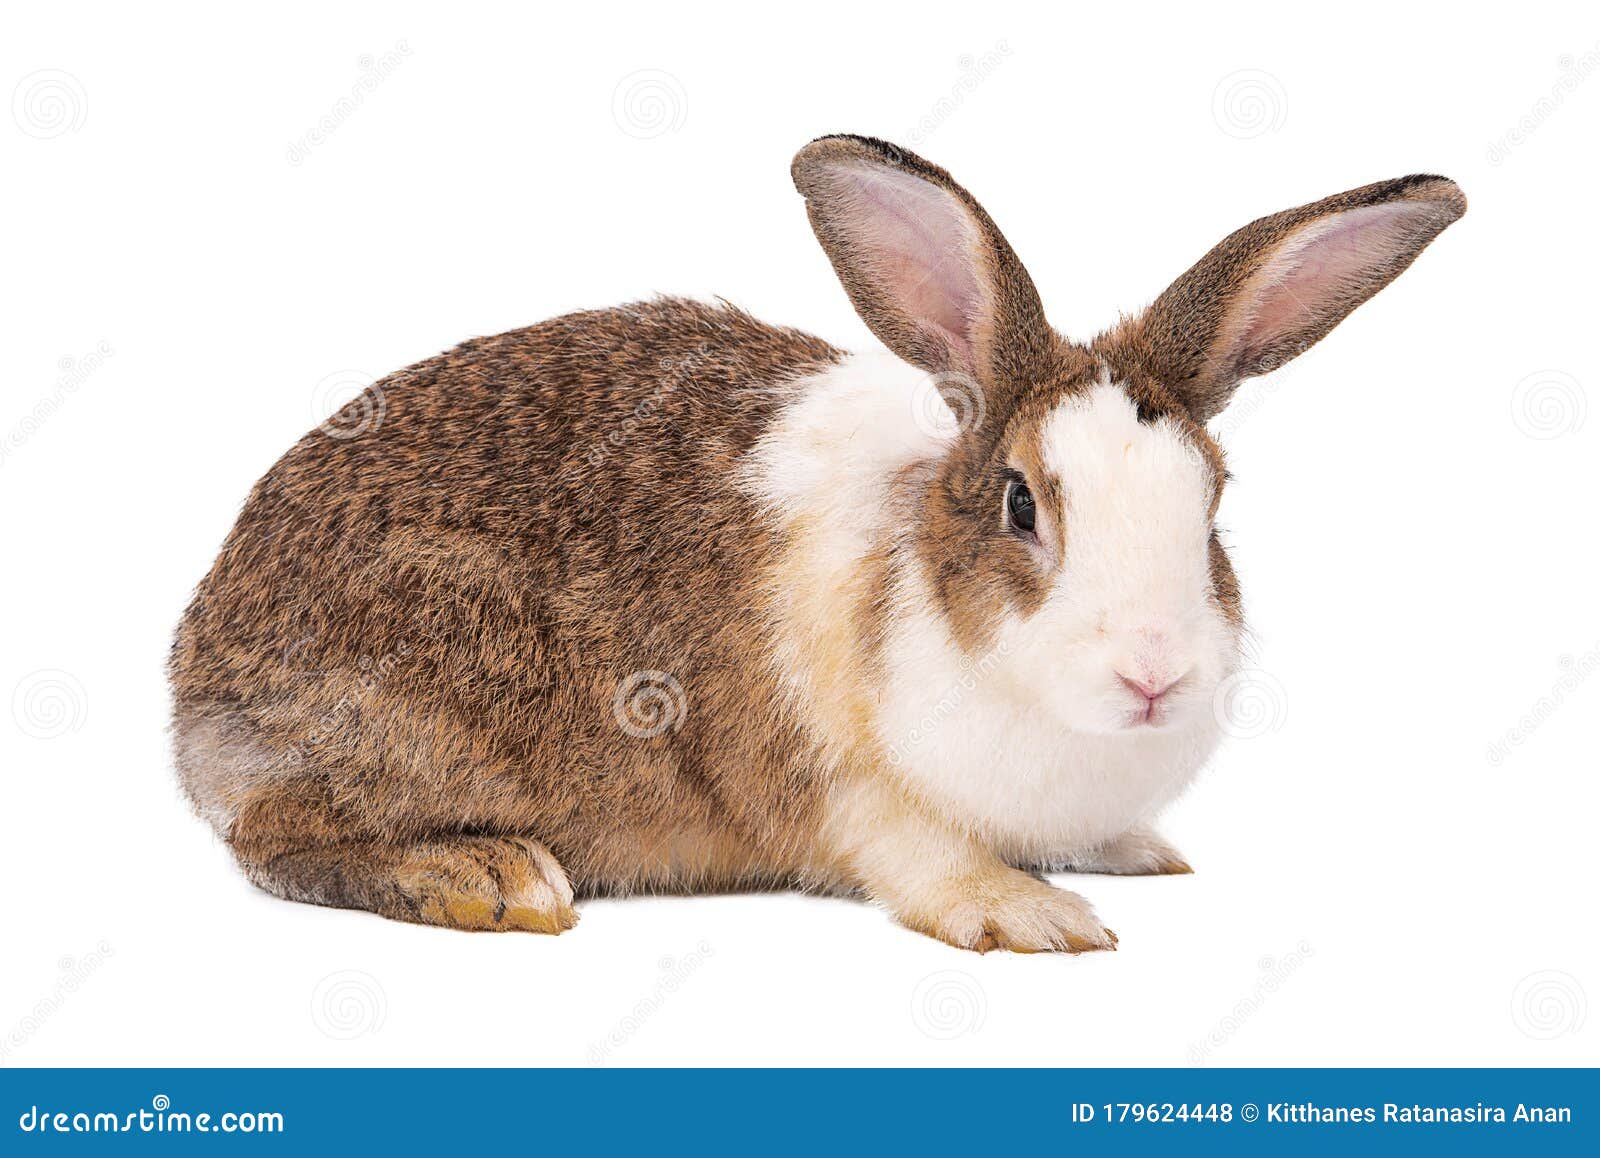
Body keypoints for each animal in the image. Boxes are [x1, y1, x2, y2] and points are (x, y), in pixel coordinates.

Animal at [169, 135, 1464, 952]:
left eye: (1213, 504)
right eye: (1020, 504)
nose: (1153, 673)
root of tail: (193, 688)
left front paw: (1139, 852)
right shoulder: (847, 789)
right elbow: (919, 856)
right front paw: (1033, 917)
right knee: (275, 839)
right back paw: (484, 876)